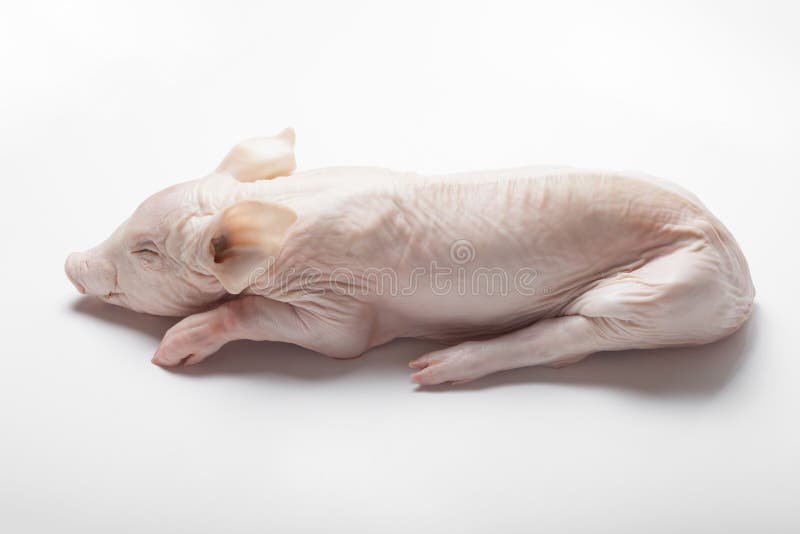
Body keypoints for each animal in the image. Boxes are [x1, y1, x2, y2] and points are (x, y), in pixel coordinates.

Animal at [65, 128, 755, 386]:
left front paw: (168, 354)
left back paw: (428, 371)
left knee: (572, 335)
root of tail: (744, 285)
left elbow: (265, 320)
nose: (70, 261)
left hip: (662, 292)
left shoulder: (340, 313)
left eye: (148, 251)